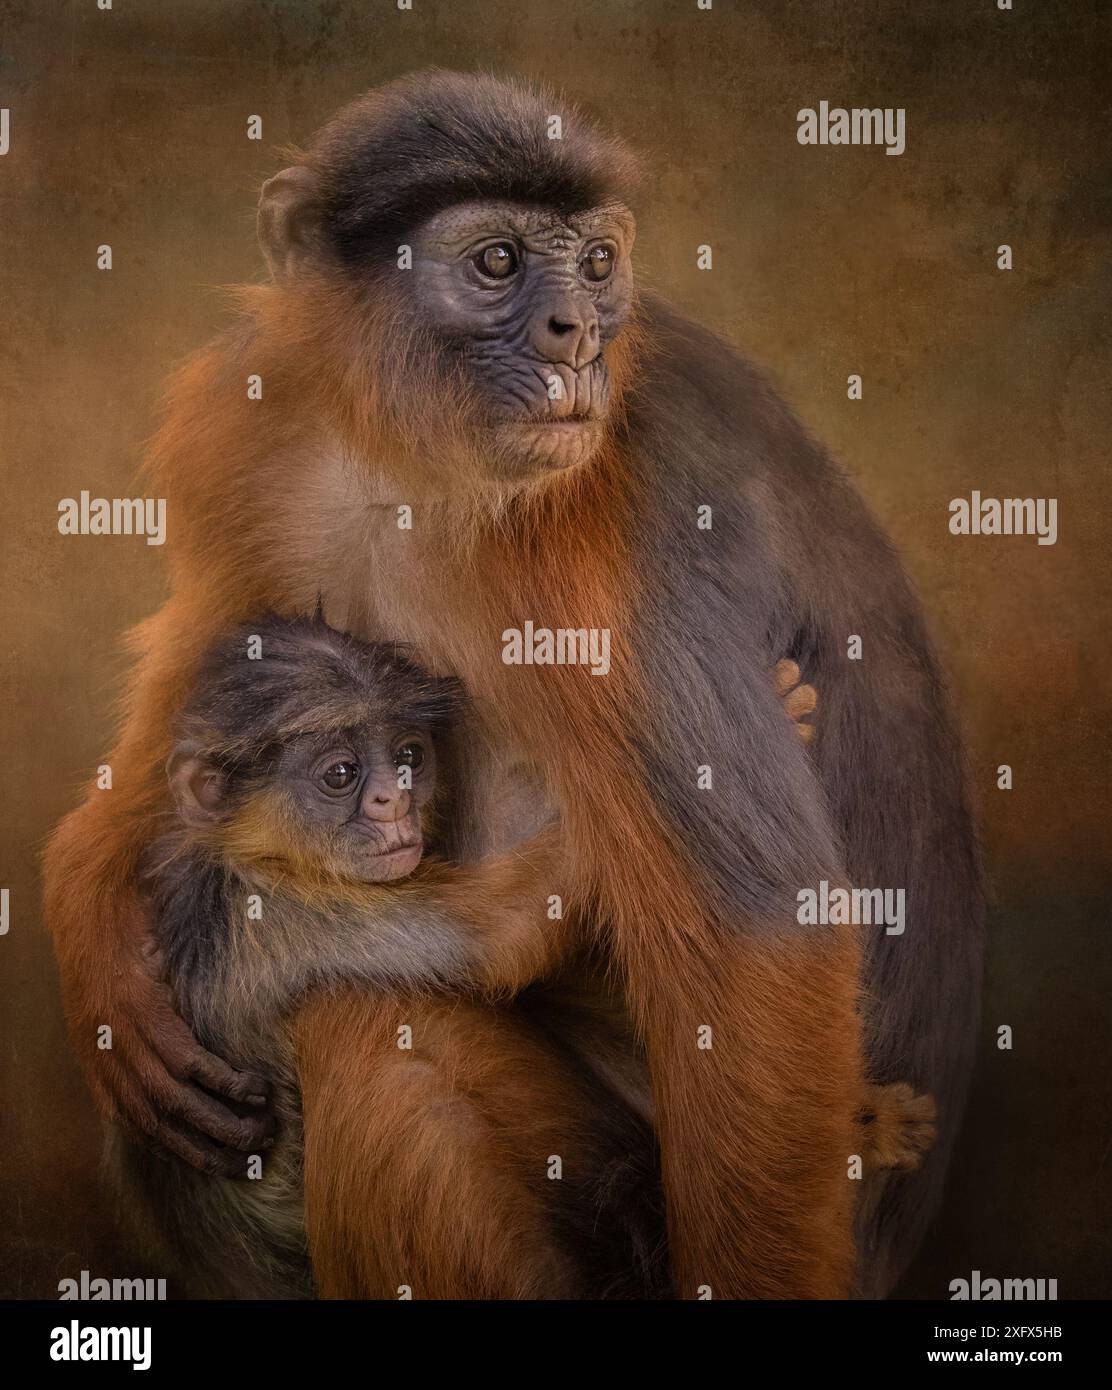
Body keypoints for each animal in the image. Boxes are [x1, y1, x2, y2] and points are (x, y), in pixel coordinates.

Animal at [44, 70, 982, 1300]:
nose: (575, 336)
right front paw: (99, 943)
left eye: (597, 264)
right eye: (496, 262)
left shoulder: (611, 514)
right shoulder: (254, 421)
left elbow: (756, 929)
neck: (411, 461)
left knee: (374, 1037)